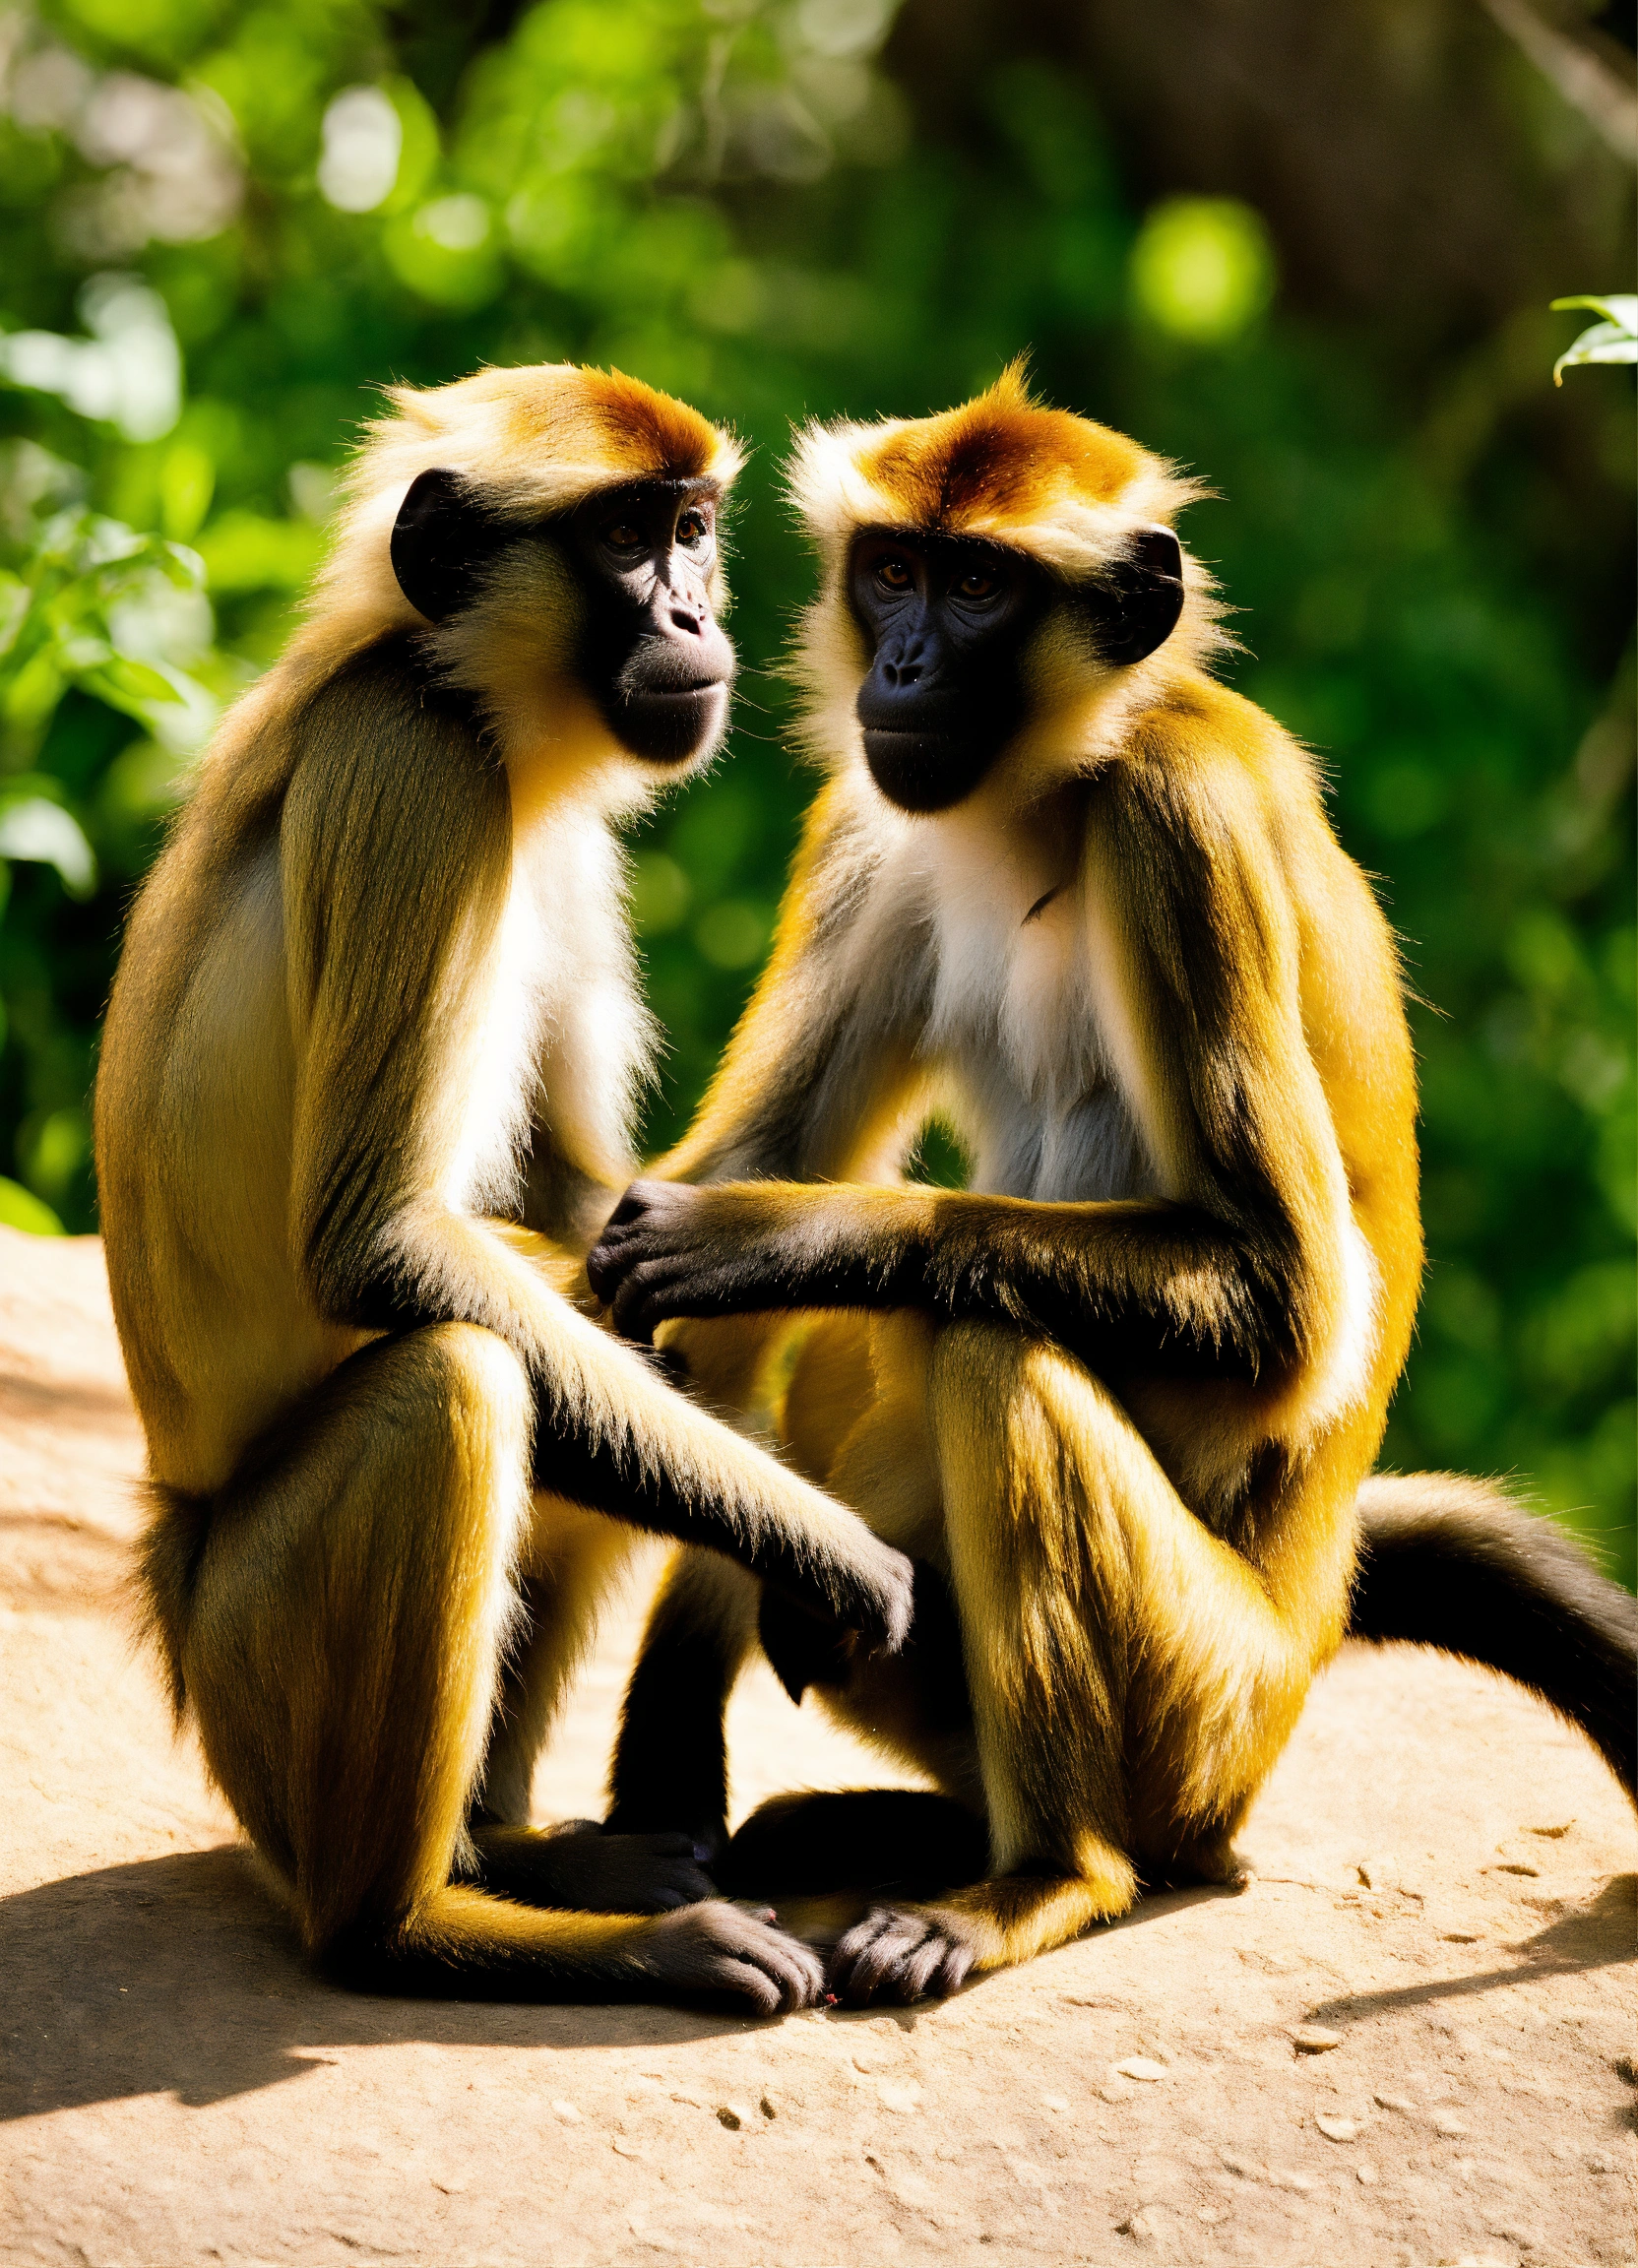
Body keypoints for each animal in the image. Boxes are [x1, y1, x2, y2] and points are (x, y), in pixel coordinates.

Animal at [92, 361, 917, 2011]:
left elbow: (591, 1220)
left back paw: (522, 1856)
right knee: (463, 1387)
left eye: (693, 529)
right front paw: (831, 1555)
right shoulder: (420, 764)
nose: (691, 614)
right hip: (258, 1651)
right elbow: (382, 1249)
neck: (453, 681)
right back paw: (438, 1928)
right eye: (623, 544)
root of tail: (174, 1552)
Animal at [587, 363, 1637, 2006]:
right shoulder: (879, 816)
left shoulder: (1177, 817)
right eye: (893, 570)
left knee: (993, 1341)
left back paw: (1044, 1876)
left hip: (1200, 1695)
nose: (901, 661)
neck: (1047, 797)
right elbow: (729, 1191)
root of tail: (1301, 1634)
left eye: (977, 587)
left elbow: (1281, 1305)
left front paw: (770, 1237)